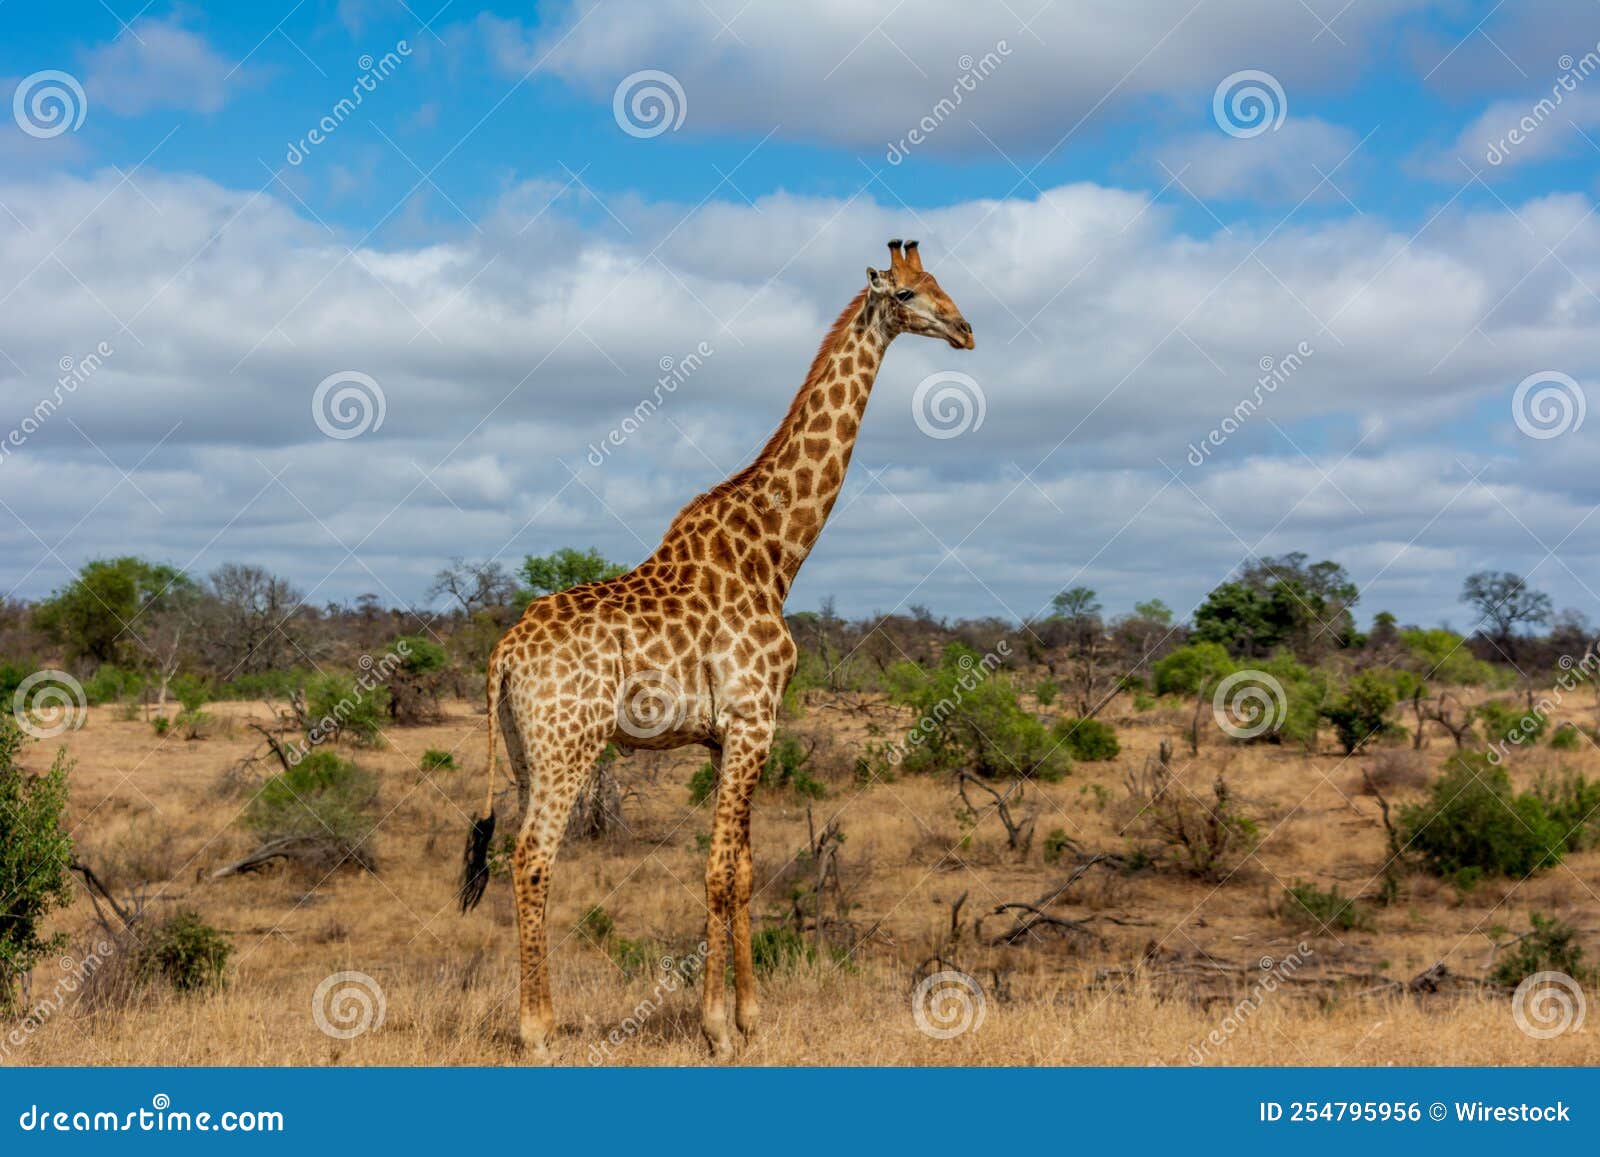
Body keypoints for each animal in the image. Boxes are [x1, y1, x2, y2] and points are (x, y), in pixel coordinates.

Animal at [459, 239, 974, 1059]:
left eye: (938, 283)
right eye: (909, 293)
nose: (965, 330)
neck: (777, 552)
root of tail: (502, 653)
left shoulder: (729, 733)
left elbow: (744, 868)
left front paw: (751, 1018)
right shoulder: (753, 721)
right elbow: (718, 872)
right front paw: (717, 1030)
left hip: (521, 748)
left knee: (520, 852)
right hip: (570, 744)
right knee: (533, 857)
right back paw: (538, 1032)